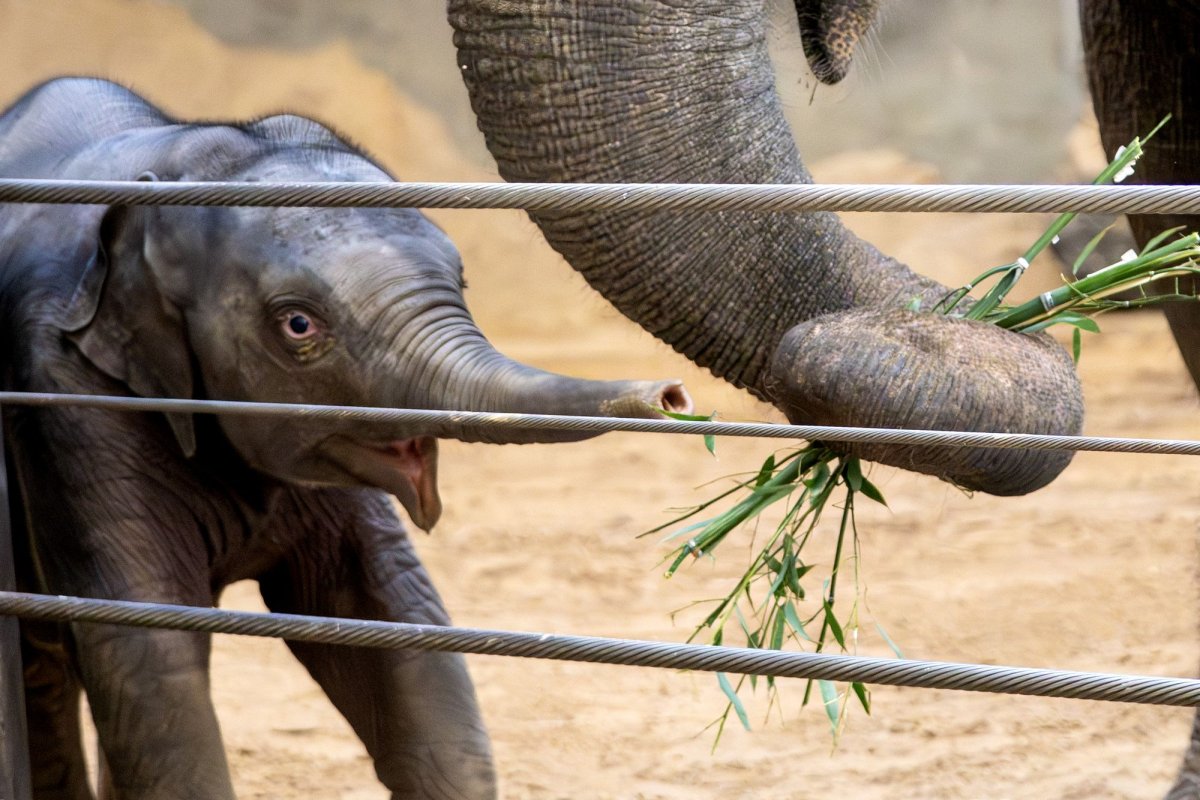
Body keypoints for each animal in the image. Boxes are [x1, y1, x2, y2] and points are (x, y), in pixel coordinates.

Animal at [0, 76, 694, 800]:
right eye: (298, 325)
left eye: (462, 281)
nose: (673, 396)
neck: (184, 160)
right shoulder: (67, 395)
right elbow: (148, 658)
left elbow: (395, 622)